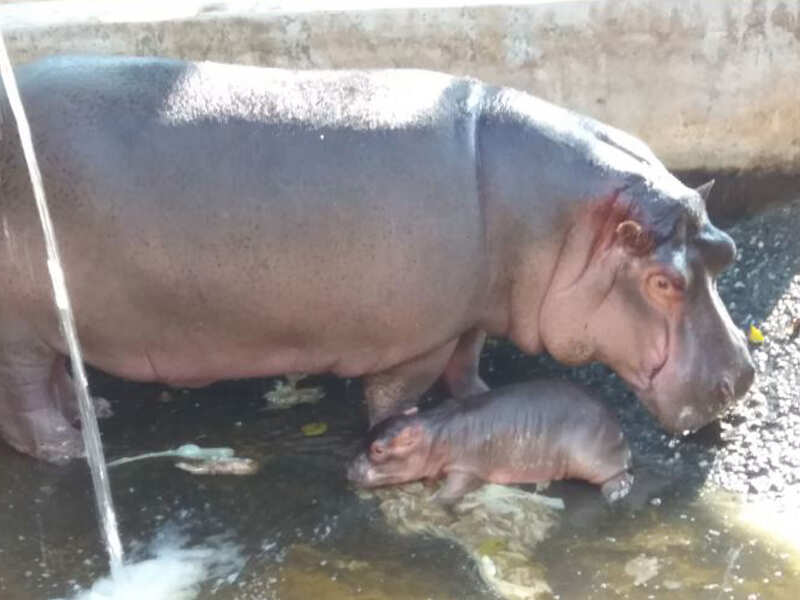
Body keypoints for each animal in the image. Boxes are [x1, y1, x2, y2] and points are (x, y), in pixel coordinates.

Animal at [0, 55, 753, 462]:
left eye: (726, 251)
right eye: (662, 281)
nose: (743, 378)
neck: (563, 221)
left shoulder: (466, 312)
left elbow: (468, 360)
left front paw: (480, 398)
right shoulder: (417, 337)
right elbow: (397, 393)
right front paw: (398, 436)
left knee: (55, 373)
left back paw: (96, 412)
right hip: (21, 325)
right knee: (27, 393)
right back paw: (71, 448)